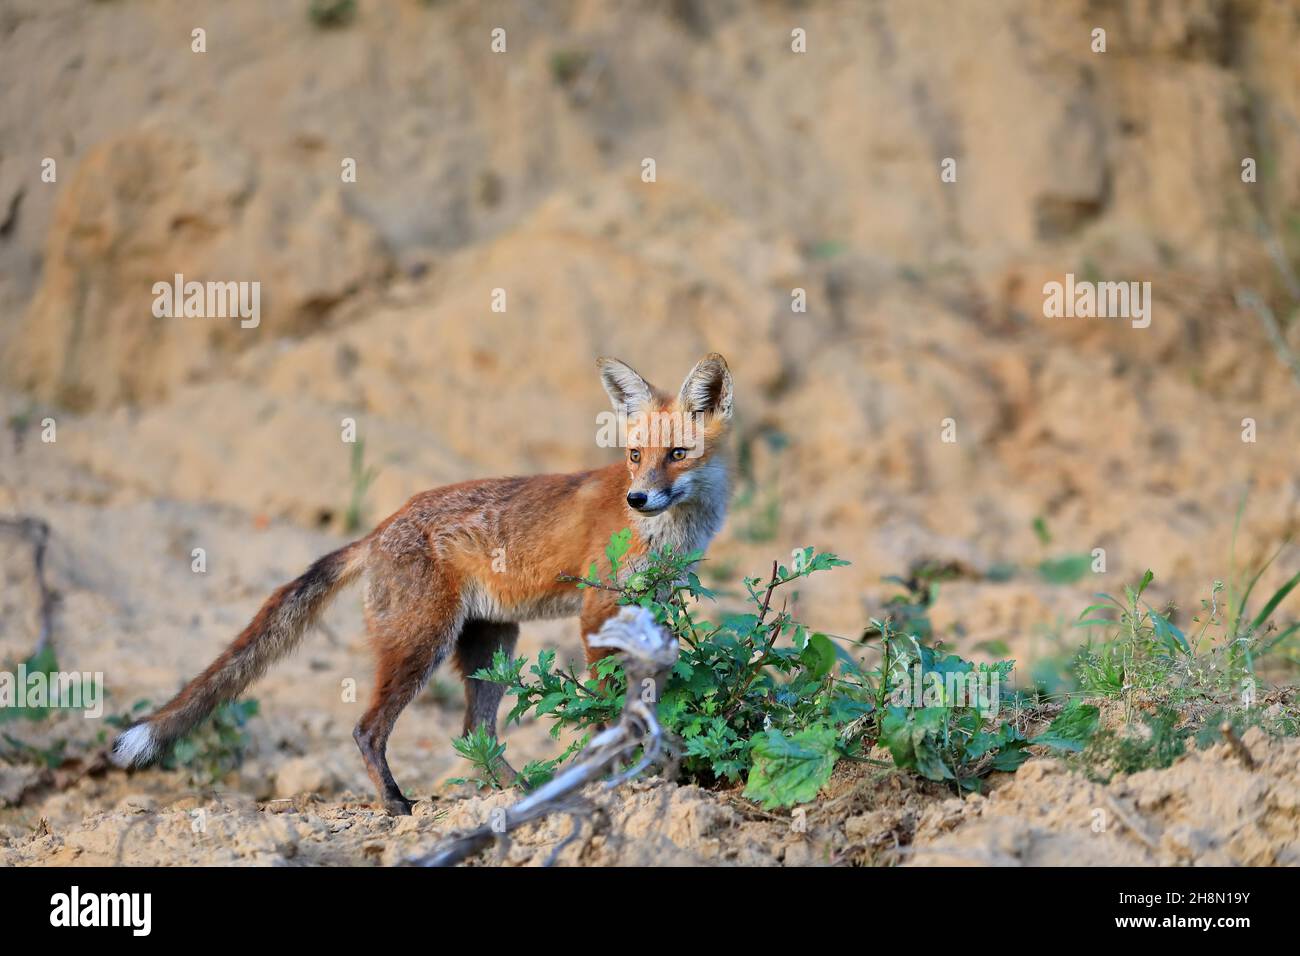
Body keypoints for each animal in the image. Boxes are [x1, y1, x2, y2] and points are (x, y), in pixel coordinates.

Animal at [111, 353, 733, 815]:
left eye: (678, 454)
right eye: (635, 455)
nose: (638, 497)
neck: (666, 533)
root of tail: (381, 527)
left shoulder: (651, 608)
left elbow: (648, 699)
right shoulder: (598, 610)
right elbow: (609, 709)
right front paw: (623, 773)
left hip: (491, 645)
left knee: (476, 732)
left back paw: (519, 794)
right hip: (421, 644)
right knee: (368, 729)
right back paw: (398, 803)